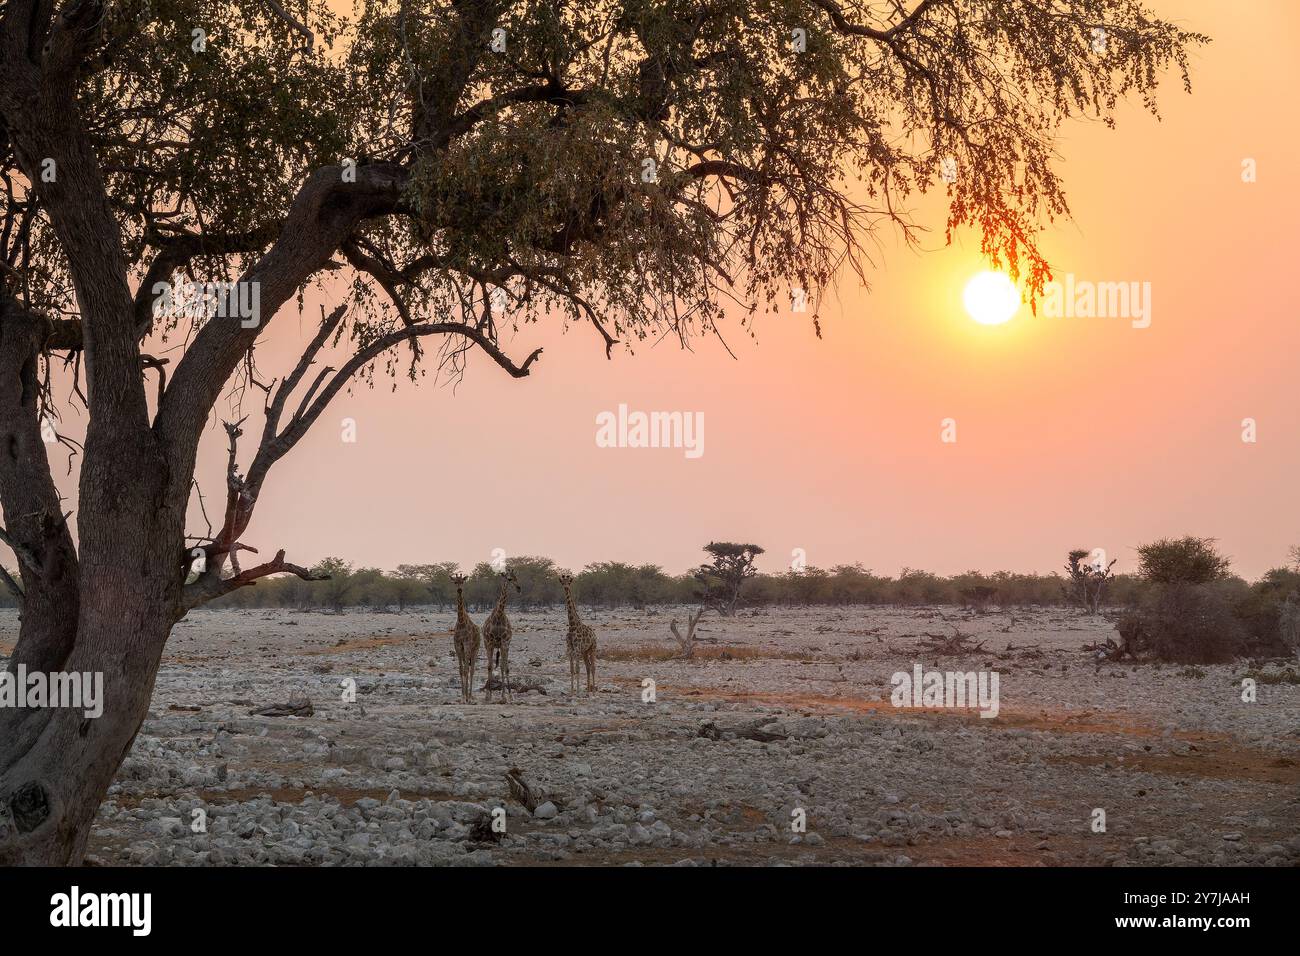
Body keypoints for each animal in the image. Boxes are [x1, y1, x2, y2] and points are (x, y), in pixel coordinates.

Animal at [481, 569, 520, 703]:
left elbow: (504, 667)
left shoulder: (504, 642)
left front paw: (506, 696)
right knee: (494, 665)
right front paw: (488, 695)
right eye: (509, 578)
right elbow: (489, 666)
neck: (499, 615)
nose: (519, 588)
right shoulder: (489, 643)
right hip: (492, 645)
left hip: (503, 646)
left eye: (517, 577)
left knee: (503, 666)